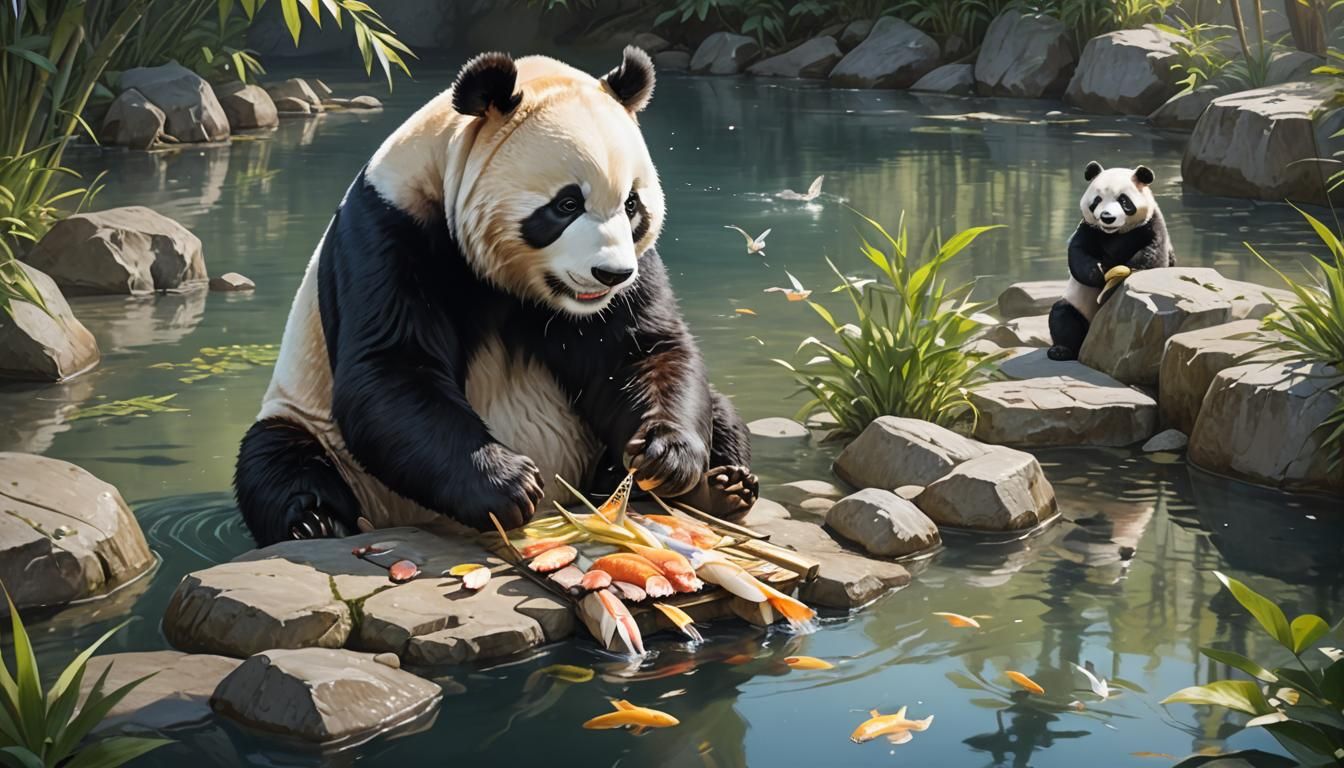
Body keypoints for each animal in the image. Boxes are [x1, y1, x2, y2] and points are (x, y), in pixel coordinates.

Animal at [233, 48, 757, 546]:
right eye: (567, 204)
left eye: (632, 205)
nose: (610, 275)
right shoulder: (389, 229)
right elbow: (391, 367)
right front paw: (508, 485)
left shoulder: (636, 265)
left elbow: (641, 347)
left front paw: (664, 457)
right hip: (317, 428)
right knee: (276, 459)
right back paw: (316, 523)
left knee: (719, 409)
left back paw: (722, 487)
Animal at [1047, 161, 1175, 362]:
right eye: (1097, 200)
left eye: (1124, 201)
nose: (1107, 217)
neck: (1116, 233)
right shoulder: (1090, 228)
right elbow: (1077, 253)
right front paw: (1098, 272)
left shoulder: (1151, 224)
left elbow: (1153, 253)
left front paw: (1124, 275)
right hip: (1078, 305)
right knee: (1063, 316)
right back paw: (1062, 350)